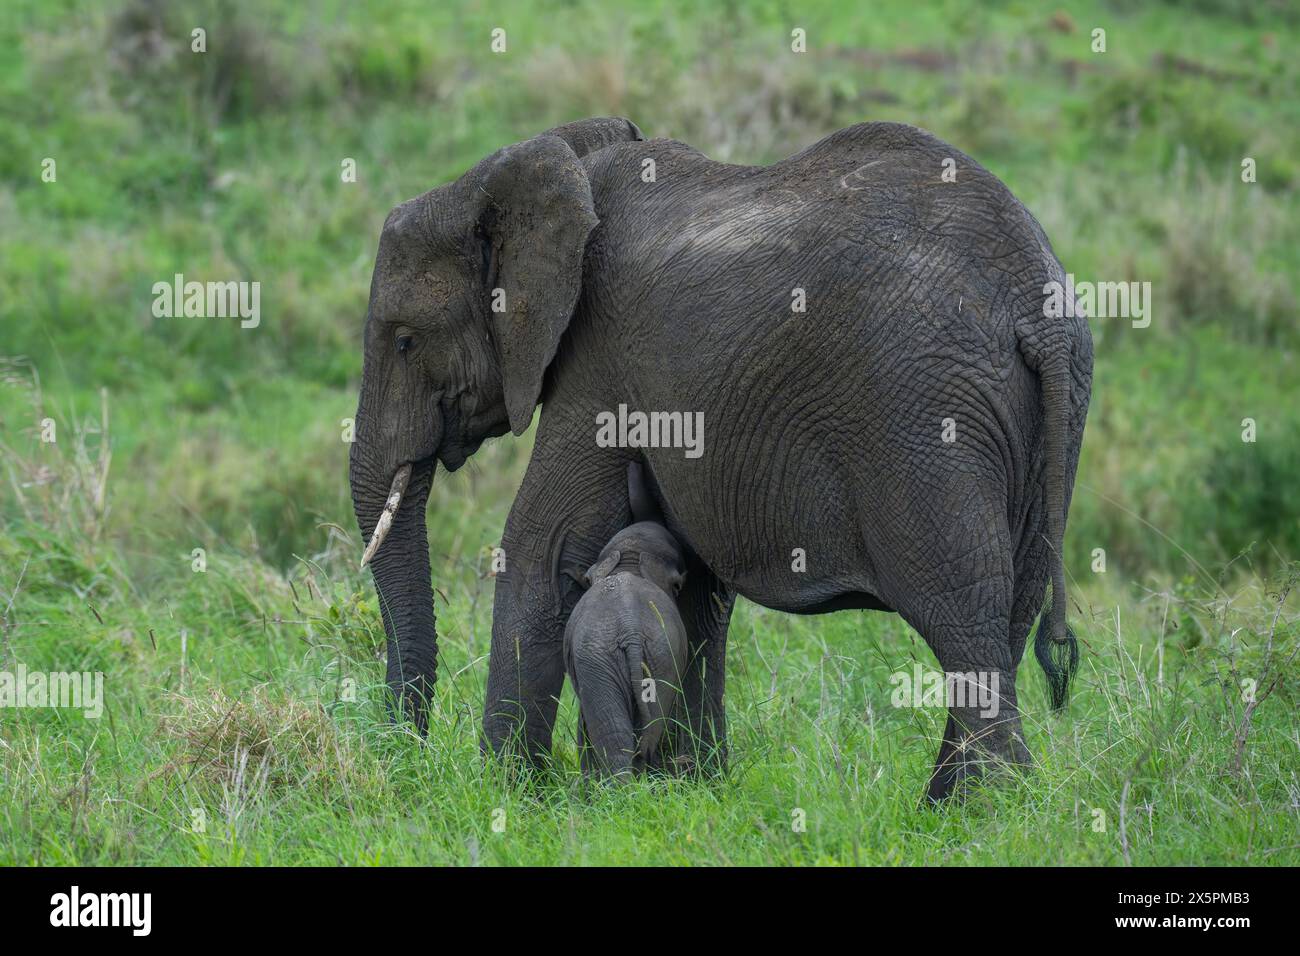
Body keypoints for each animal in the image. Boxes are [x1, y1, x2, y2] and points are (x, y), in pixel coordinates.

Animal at [564, 462, 689, 779]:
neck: (632, 558)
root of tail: (630, 633)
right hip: (656, 658)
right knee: (648, 732)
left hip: (602, 661)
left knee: (617, 738)